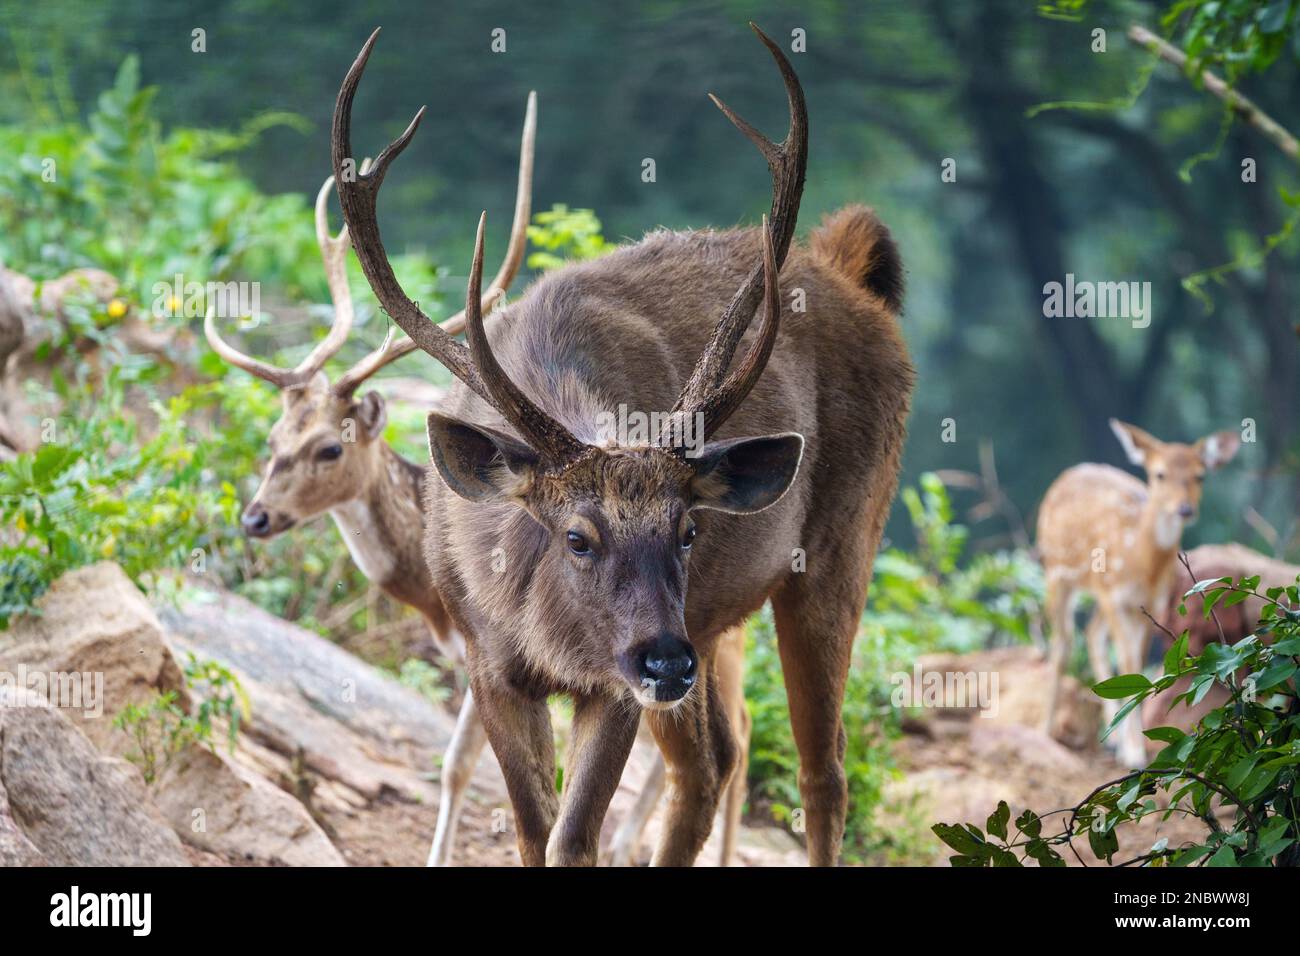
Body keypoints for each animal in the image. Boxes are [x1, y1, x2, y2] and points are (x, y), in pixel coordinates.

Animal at [330, 23, 914, 866]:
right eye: (577, 536)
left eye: (689, 530)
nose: (664, 660)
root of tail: (859, 281)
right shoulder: (488, 662)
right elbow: (533, 830)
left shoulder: (615, 685)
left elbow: (574, 838)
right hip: (710, 627)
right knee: (712, 764)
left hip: (834, 549)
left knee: (822, 770)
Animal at [1038, 419, 1241, 767]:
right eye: (1159, 474)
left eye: (1200, 475)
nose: (1185, 509)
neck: (1141, 563)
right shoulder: (1112, 594)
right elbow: (1128, 659)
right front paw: (1133, 753)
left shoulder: (1152, 603)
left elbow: (1136, 660)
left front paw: (1132, 746)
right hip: (1057, 571)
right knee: (1063, 643)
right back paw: (1048, 729)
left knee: (1092, 634)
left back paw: (1111, 737)